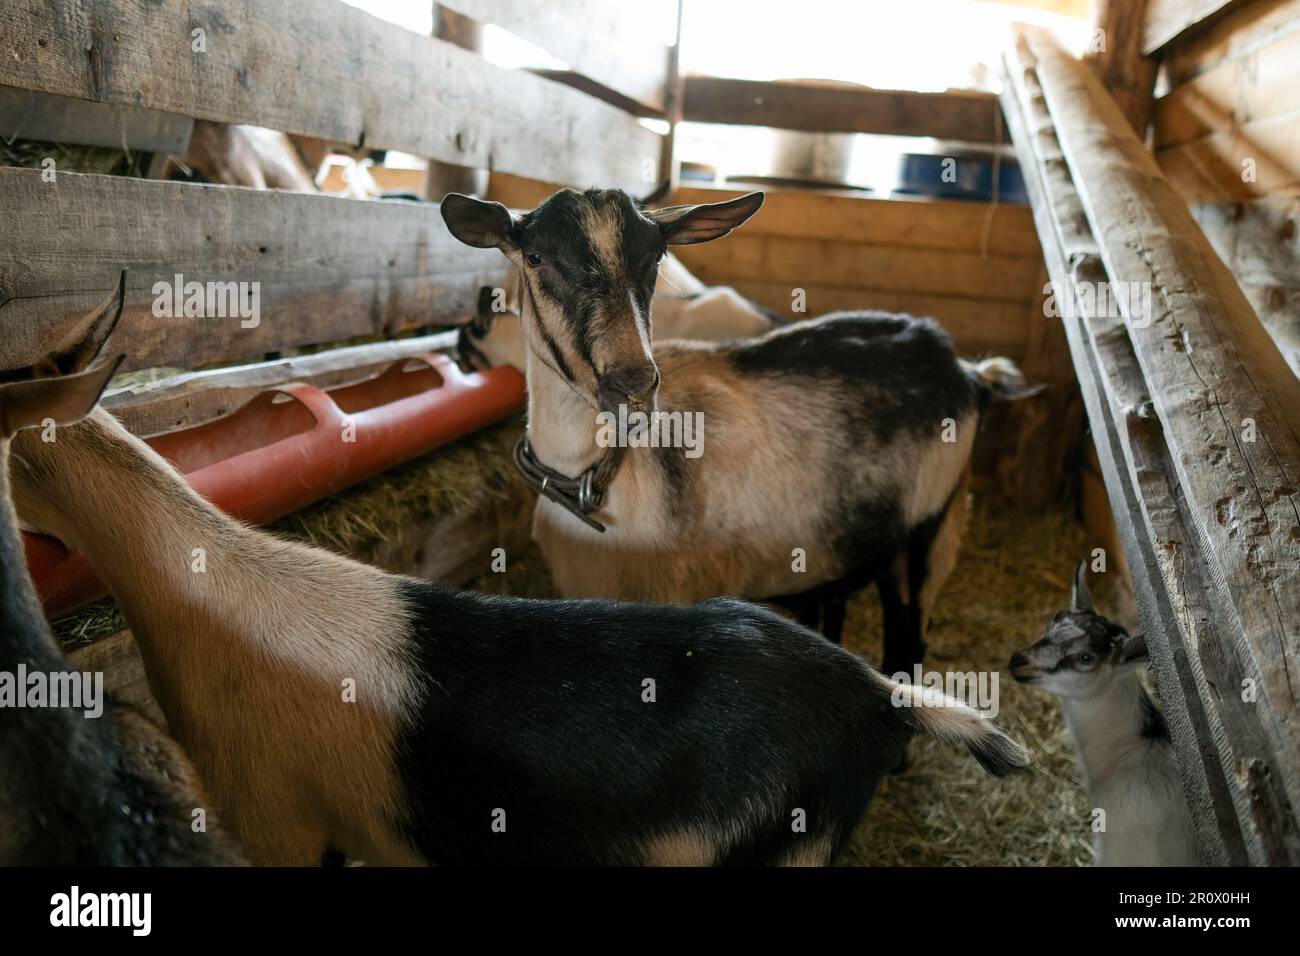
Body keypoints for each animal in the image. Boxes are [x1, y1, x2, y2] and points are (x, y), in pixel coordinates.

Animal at [440, 187, 1036, 675]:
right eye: (537, 257)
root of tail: (969, 371)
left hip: (931, 533)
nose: (632, 385)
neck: (603, 474)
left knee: (908, 643)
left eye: (655, 258)